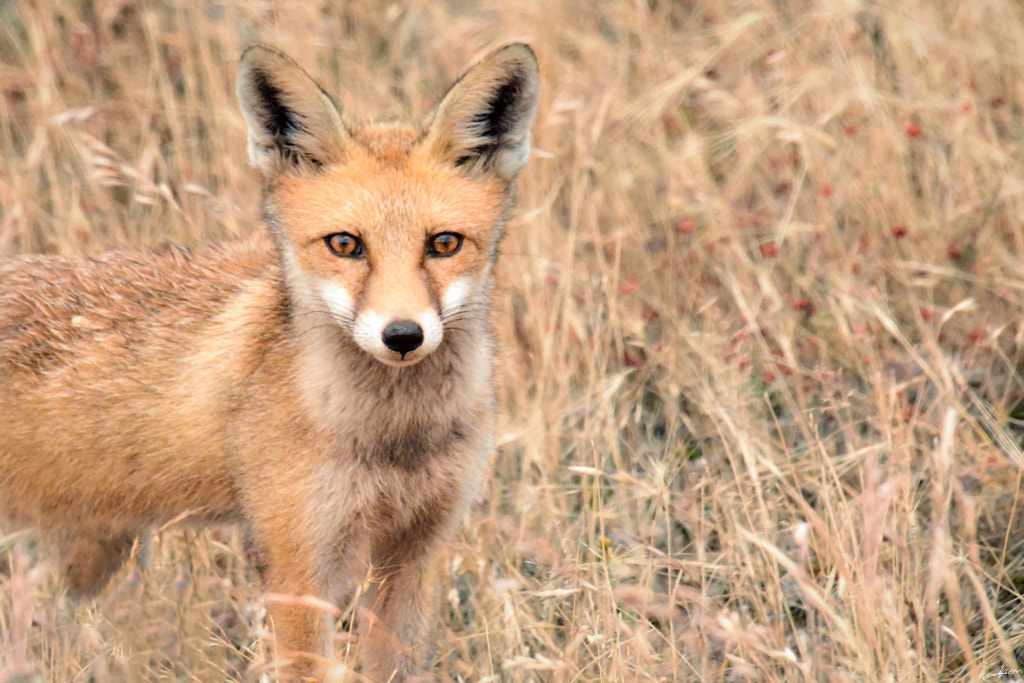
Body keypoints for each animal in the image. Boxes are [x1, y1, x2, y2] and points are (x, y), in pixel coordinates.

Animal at [0, 43, 539, 680]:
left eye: (445, 244)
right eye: (344, 244)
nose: (403, 336)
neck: (394, 438)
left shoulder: (413, 553)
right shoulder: (296, 568)